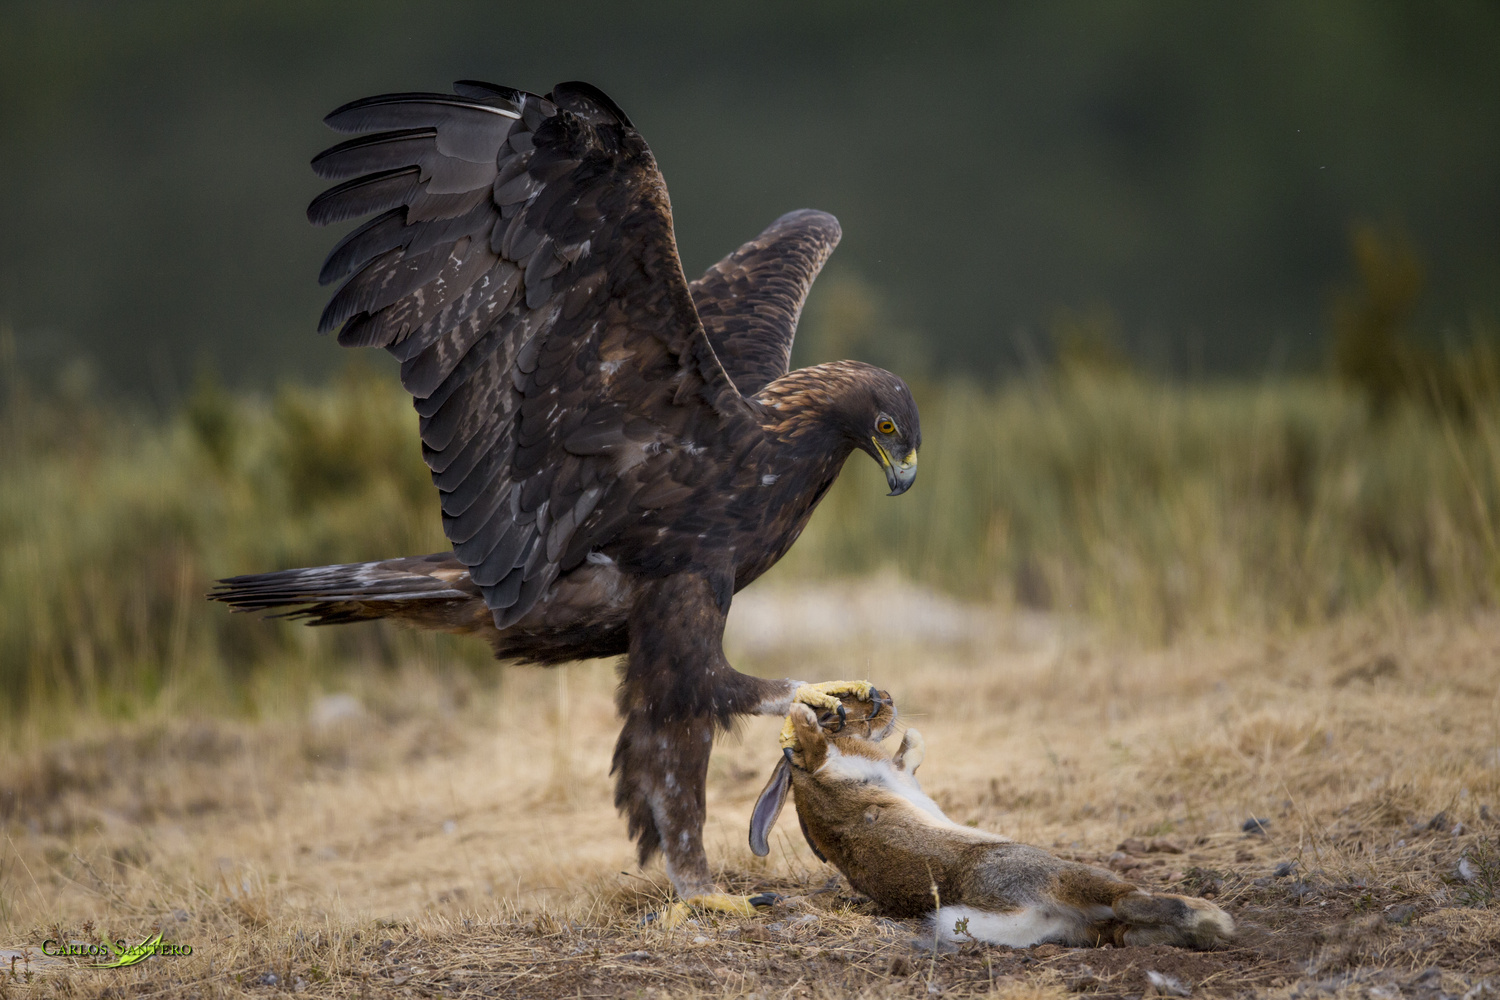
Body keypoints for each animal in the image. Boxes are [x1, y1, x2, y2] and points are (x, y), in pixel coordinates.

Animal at [750, 698, 1234, 949]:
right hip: (1057, 872)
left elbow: (907, 756)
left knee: (1121, 925)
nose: (884, 704)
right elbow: (827, 753)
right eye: (841, 714)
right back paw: (1213, 920)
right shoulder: (845, 771)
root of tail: (1020, 910)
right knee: (1127, 899)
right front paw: (803, 719)